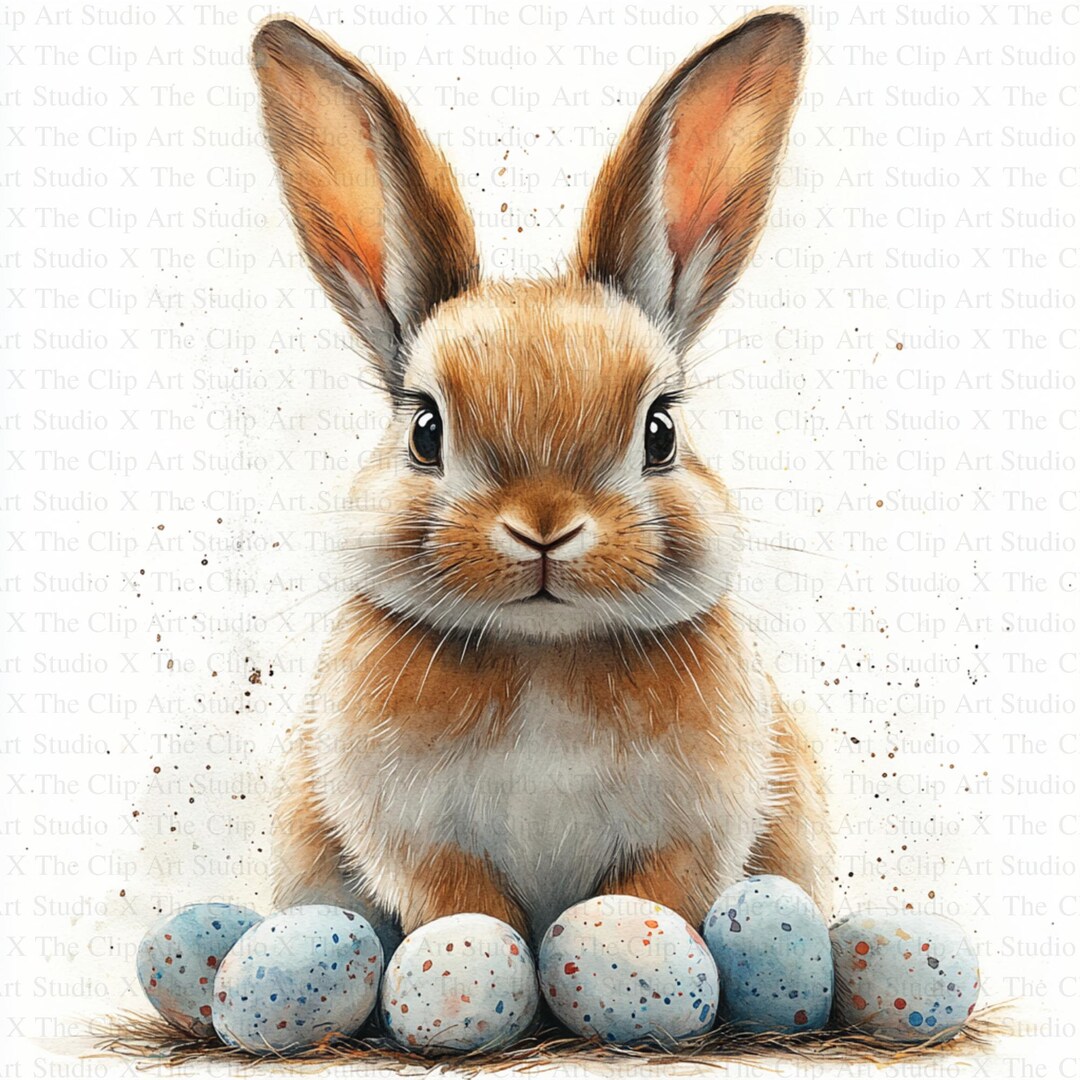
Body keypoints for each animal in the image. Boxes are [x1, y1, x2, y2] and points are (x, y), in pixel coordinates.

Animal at [252, 8, 831, 948]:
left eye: (661, 431)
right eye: (425, 430)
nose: (545, 526)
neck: (543, 655)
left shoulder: (691, 834)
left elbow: (647, 905)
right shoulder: (416, 839)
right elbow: (468, 910)